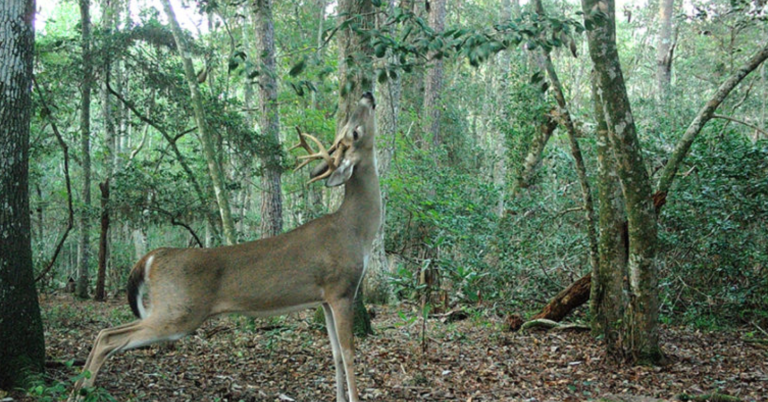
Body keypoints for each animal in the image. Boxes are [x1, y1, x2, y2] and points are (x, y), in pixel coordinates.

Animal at [70, 93, 380, 402]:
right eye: (354, 131)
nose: (368, 95)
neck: (355, 230)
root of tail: (152, 256)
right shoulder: (342, 287)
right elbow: (349, 354)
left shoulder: (325, 297)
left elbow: (335, 354)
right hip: (177, 311)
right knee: (108, 336)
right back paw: (81, 390)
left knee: (103, 335)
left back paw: (77, 389)